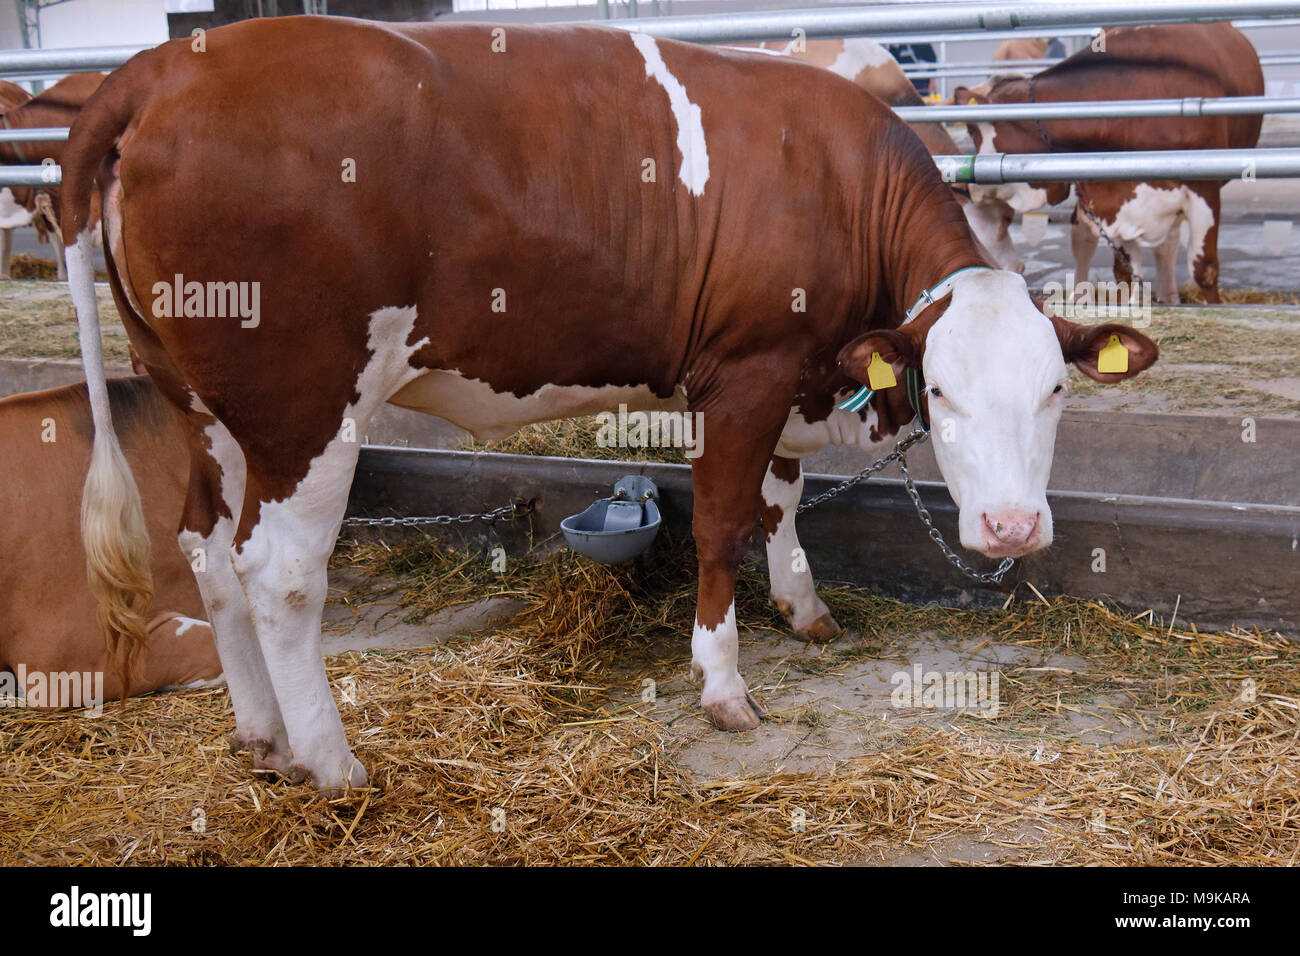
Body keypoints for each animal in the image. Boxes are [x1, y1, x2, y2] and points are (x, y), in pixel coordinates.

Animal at [955, 23, 1263, 304]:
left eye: (972, 130)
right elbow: (1124, 274)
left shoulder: (1204, 190)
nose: (973, 189)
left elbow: (1204, 270)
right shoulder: (1111, 201)